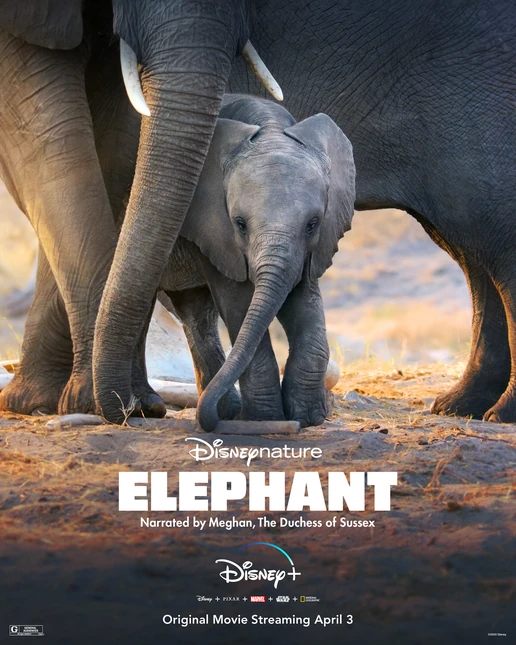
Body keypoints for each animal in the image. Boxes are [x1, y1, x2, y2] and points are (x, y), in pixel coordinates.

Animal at [155, 94, 355, 429]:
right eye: (240, 224)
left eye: (313, 224)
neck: (269, 128)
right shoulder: (214, 227)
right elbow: (239, 302)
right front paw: (265, 419)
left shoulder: (312, 247)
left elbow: (304, 300)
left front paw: (308, 418)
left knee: (194, 311)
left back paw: (226, 411)